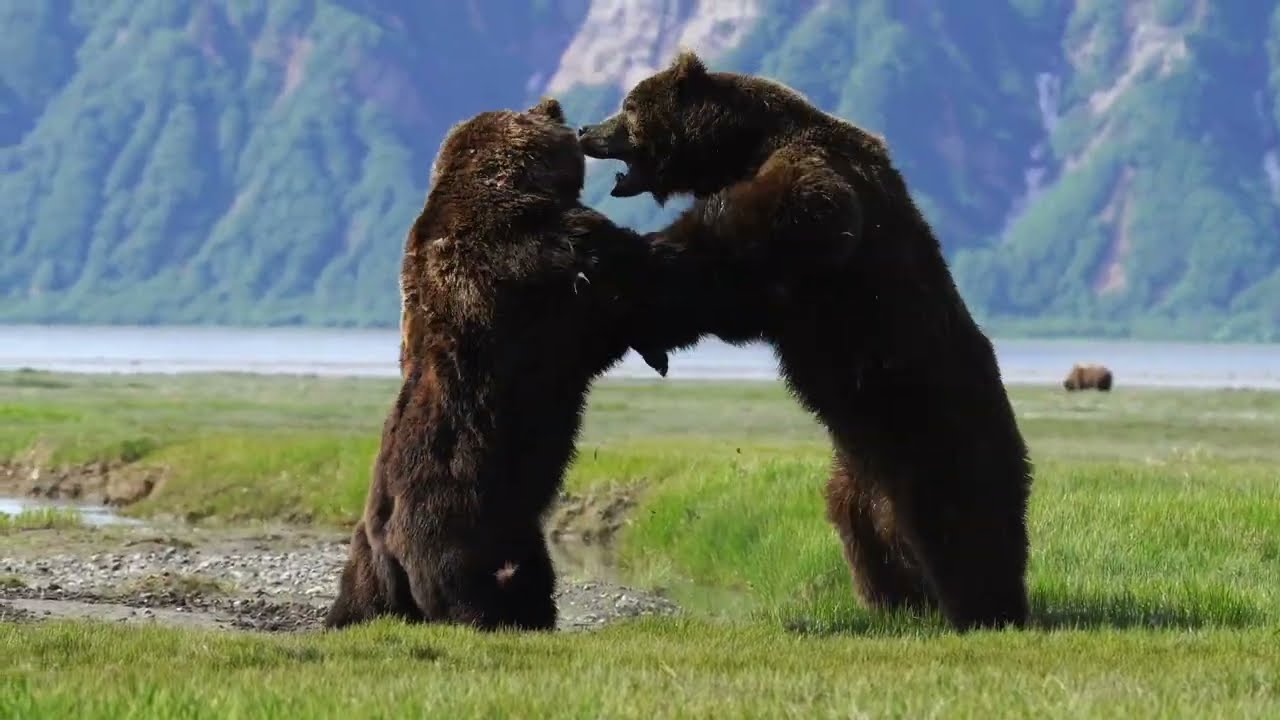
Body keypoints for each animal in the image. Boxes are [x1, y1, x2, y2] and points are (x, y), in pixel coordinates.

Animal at [324, 98, 668, 631]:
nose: (577, 123)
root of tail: (388, 549)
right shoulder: (517, 264)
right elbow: (588, 298)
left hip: (421, 546)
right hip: (454, 520)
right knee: (470, 586)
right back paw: (495, 617)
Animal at [578, 51, 1035, 631]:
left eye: (629, 105)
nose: (585, 130)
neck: (743, 145)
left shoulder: (816, 185)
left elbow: (758, 236)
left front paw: (627, 255)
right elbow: (731, 298)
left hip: (939, 432)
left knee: (965, 528)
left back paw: (986, 610)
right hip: (855, 474)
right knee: (864, 532)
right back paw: (895, 602)